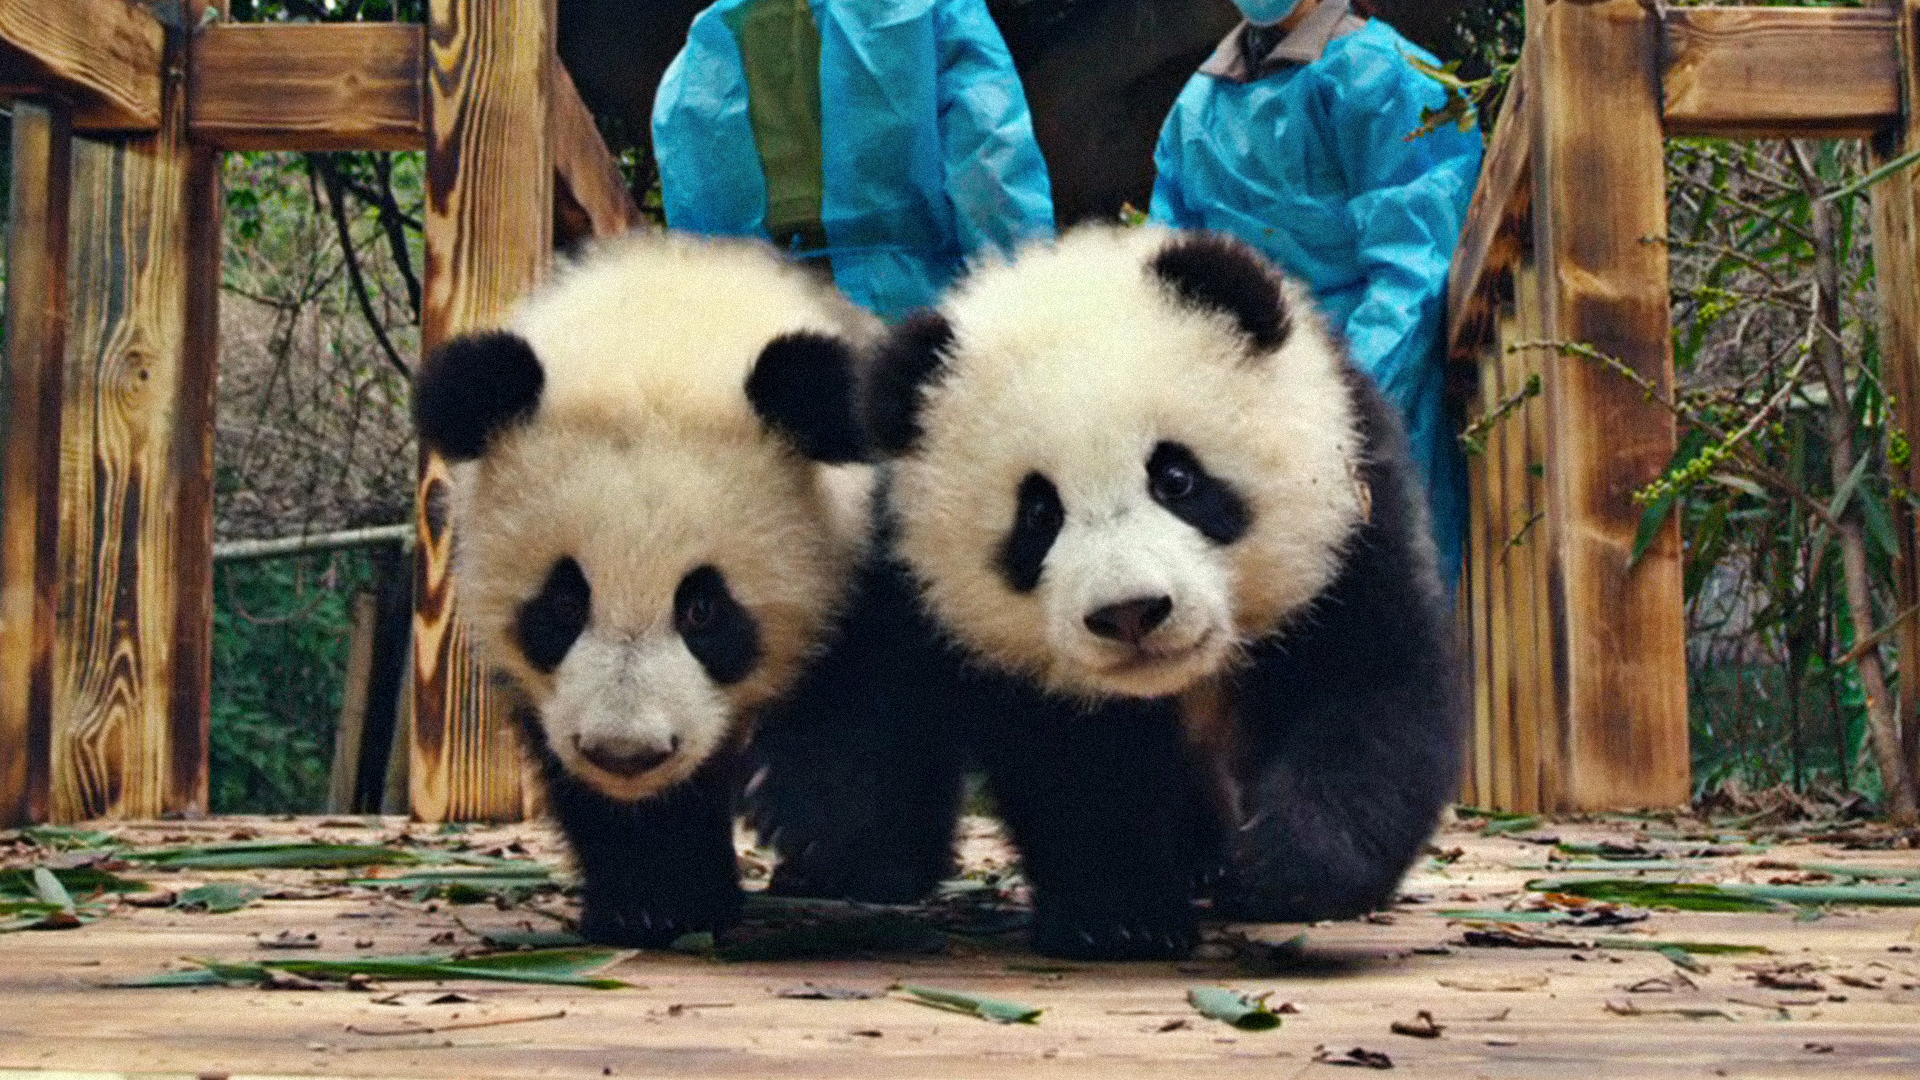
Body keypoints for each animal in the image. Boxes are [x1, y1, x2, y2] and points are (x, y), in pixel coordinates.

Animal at [752, 224, 1463, 960]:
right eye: (1039, 514)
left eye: (1175, 477)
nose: (1131, 613)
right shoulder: (988, 636)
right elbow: (1077, 770)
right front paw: (1121, 916)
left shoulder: (1351, 526)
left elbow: (1367, 695)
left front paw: (1290, 871)